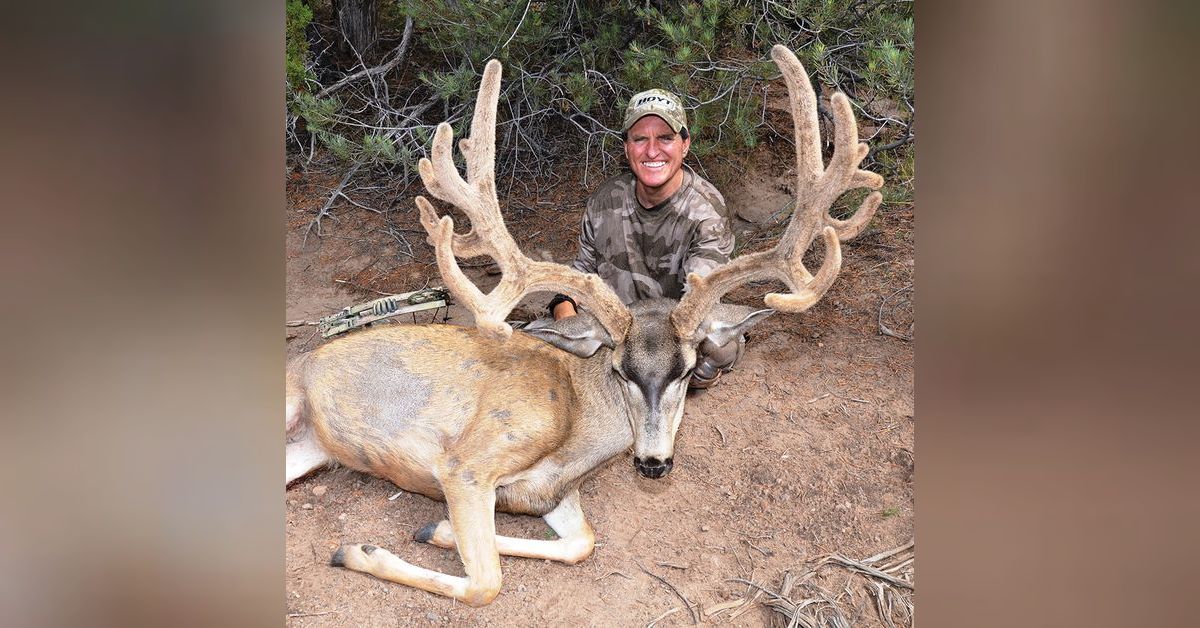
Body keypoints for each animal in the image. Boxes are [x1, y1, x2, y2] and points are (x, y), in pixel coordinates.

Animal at [284, 44, 883, 606]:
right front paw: (361, 548)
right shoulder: (466, 464)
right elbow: (487, 582)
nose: (653, 463)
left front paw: (435, 529)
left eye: (688, 371)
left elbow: (582, 543)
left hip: (307, 451)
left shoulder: (553, 495)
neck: (577, 426)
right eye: (619, 370)